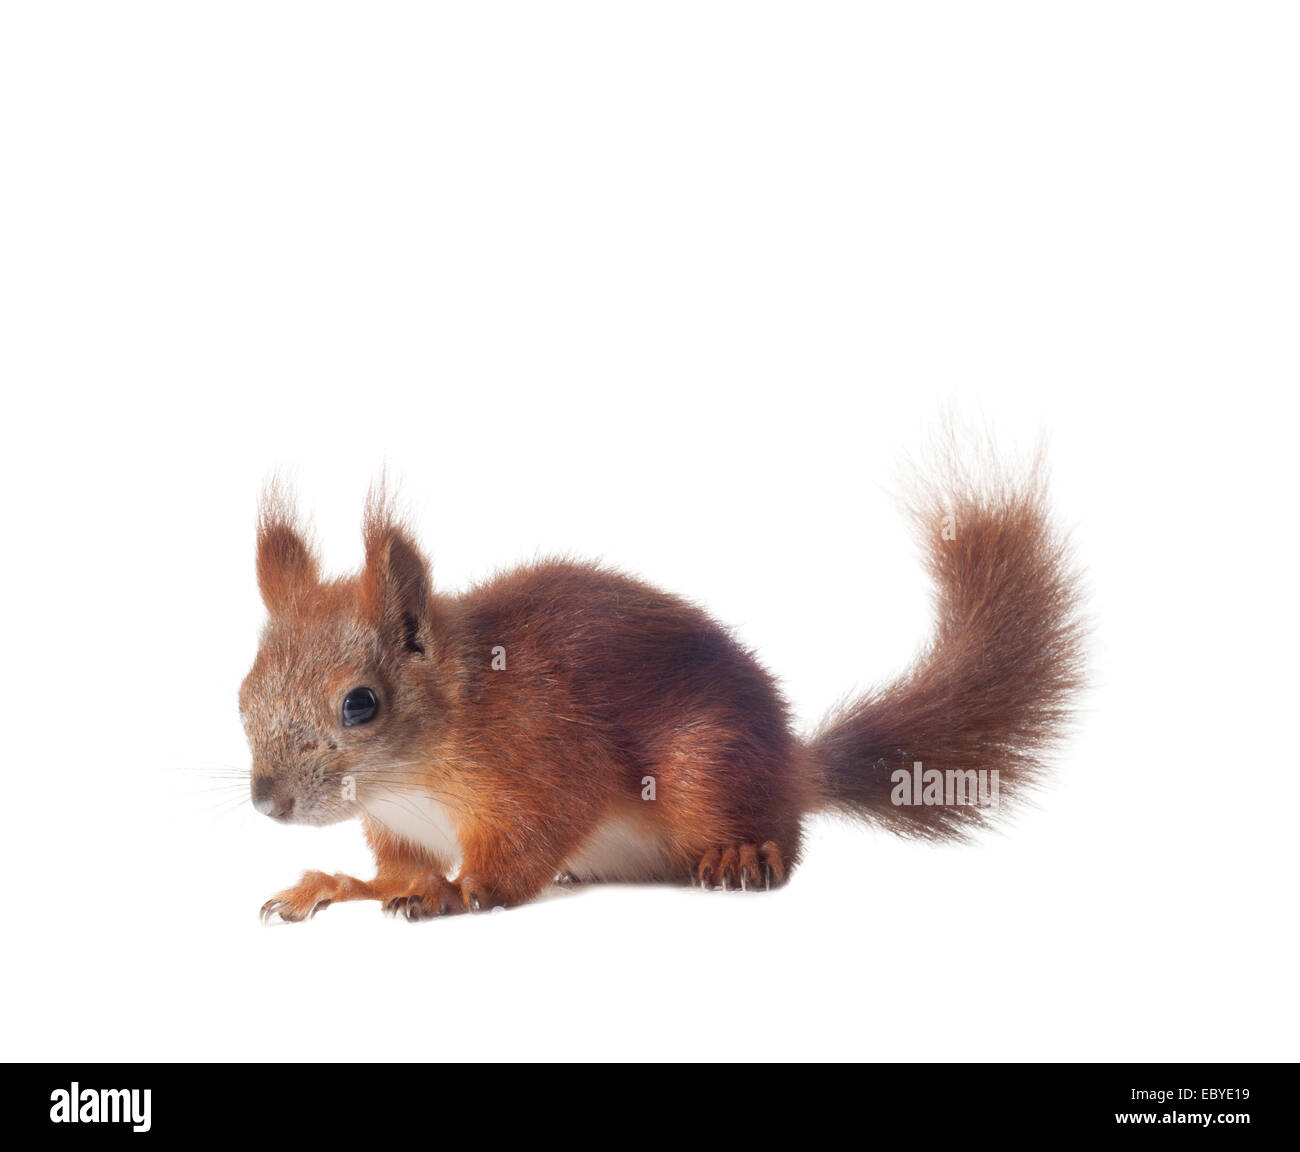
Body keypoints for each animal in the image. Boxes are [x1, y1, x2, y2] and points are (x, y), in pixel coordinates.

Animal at [242, 447, 1085, 923]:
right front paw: (333, 884)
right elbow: (392, 873)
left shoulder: (540, 754)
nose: (267, 802)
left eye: (360, 704)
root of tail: (793, 765)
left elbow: (523, 845)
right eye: (244, 695)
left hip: (704, 769)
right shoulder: (403, 830)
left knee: (778, 835)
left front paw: (453, 892)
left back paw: (742, 856)